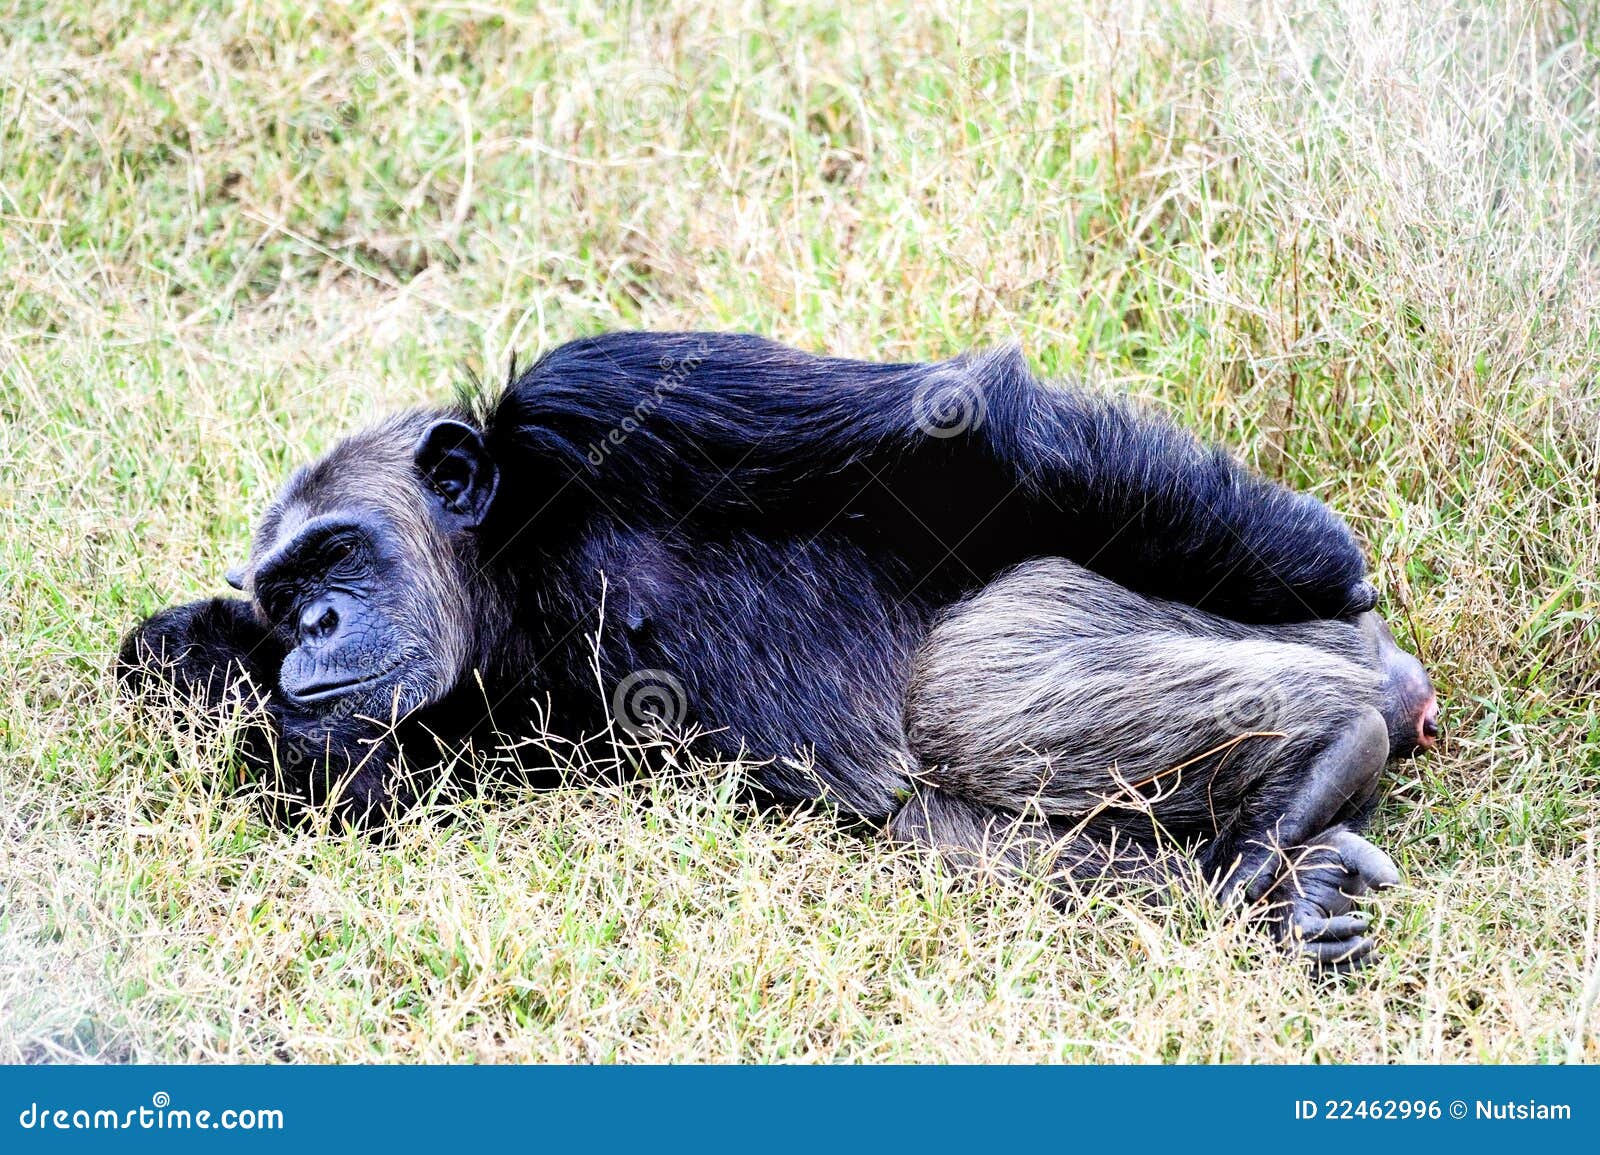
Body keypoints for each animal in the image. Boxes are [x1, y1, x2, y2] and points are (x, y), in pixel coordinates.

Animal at [118, 331, 1426, 966]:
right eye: (286, 593)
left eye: (337, 554)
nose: (309, 630)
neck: (509, 573)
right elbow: (368, 801)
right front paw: (203, 660)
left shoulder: (606, 390)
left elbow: (951, 437)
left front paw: (1333, 569)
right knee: (934, 826)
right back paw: (1286, 891)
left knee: (966, 684)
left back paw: (1335, 732)